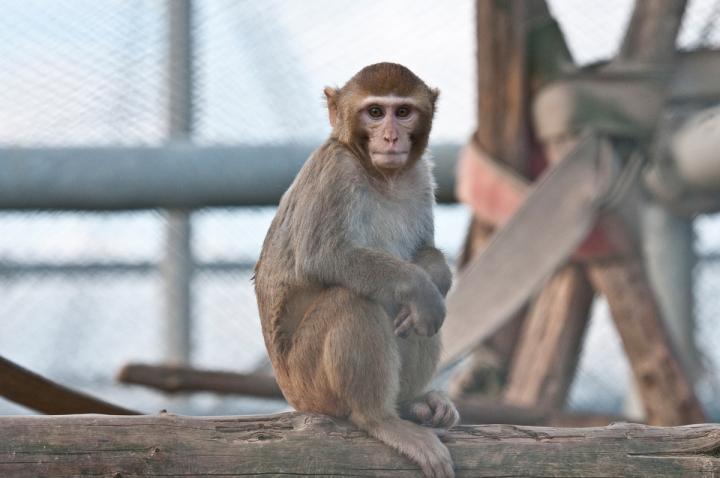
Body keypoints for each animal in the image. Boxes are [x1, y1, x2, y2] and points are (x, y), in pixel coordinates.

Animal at [254, 63, 458, 478]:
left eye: (403, 112)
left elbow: (425, 253)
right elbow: (324, 255)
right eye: (375, 112)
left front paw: (435, 273)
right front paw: (418, 287)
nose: (391, 136)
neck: (383, 177)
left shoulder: (419, 177)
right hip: (309, 383)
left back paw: (413, 402)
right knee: (353, 300)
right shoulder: (335, 171)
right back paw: (381, 419)